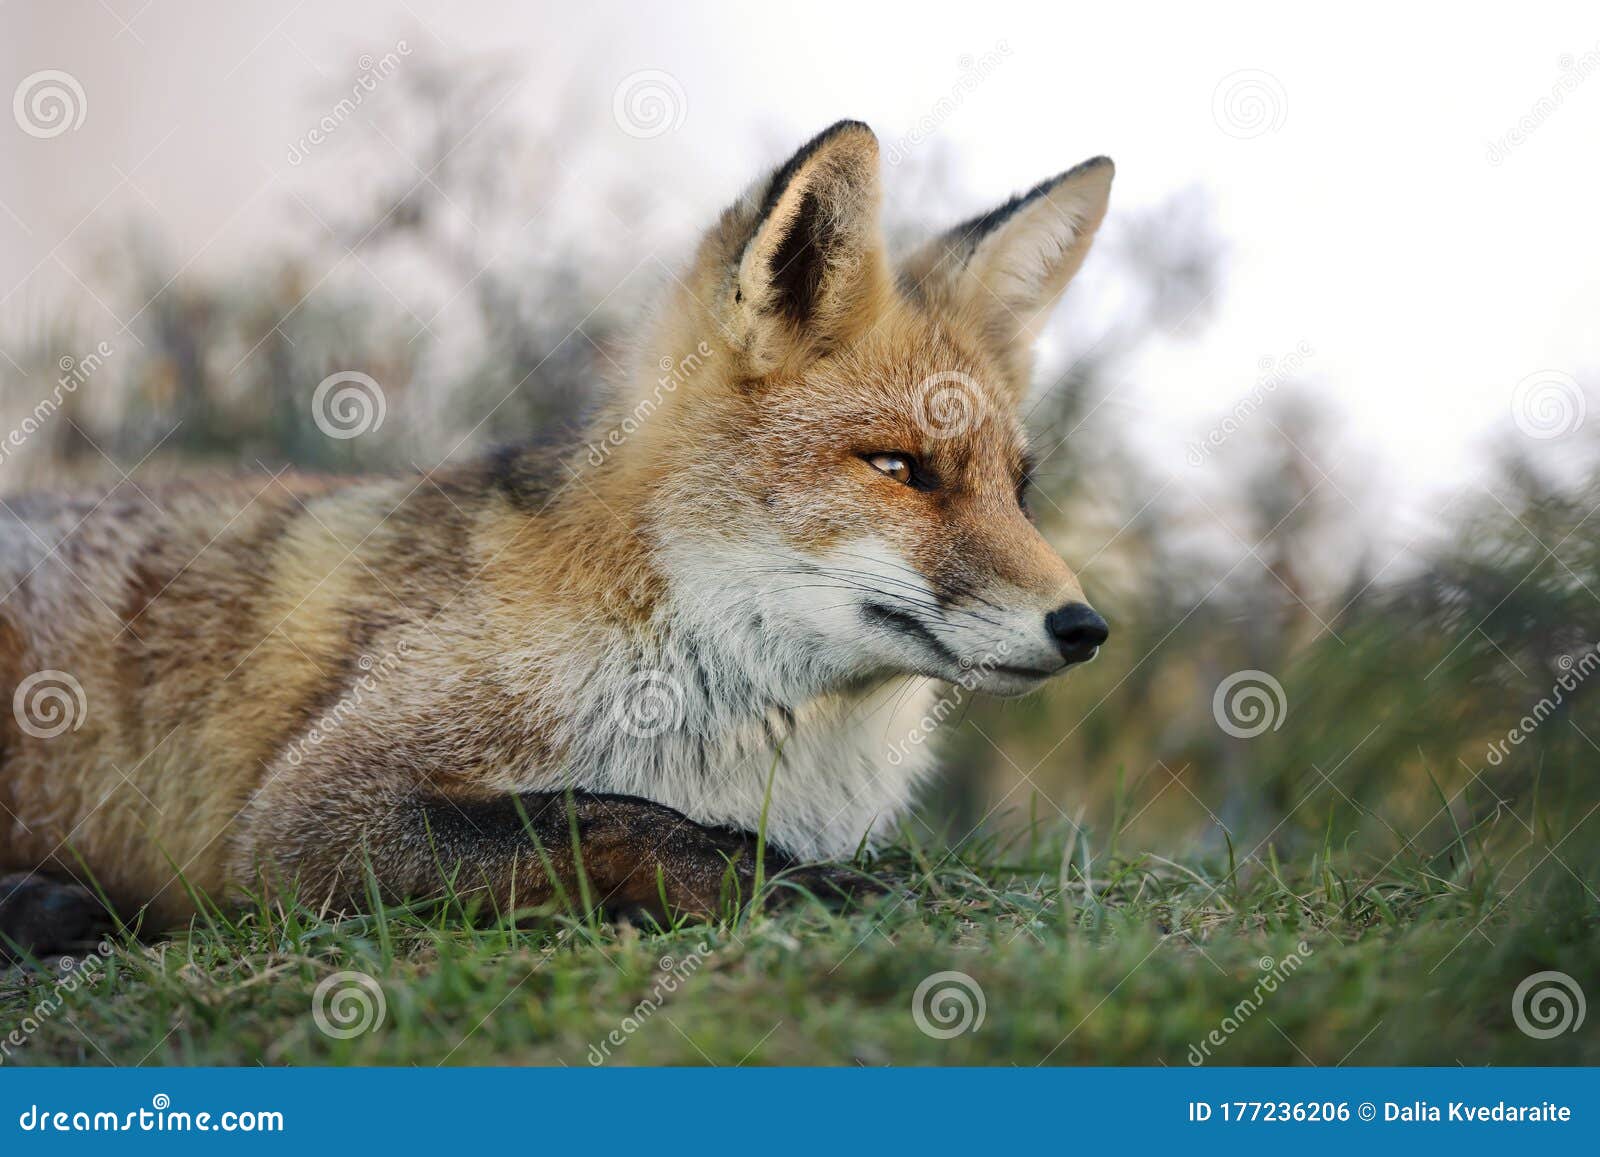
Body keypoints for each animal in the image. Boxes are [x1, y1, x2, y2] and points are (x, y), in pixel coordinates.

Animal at [0, 120, 1114, 953]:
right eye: (897, 468)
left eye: (1020, 488)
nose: (1085, 627)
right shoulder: (307, 809)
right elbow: (598, 809)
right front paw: (769, 882)